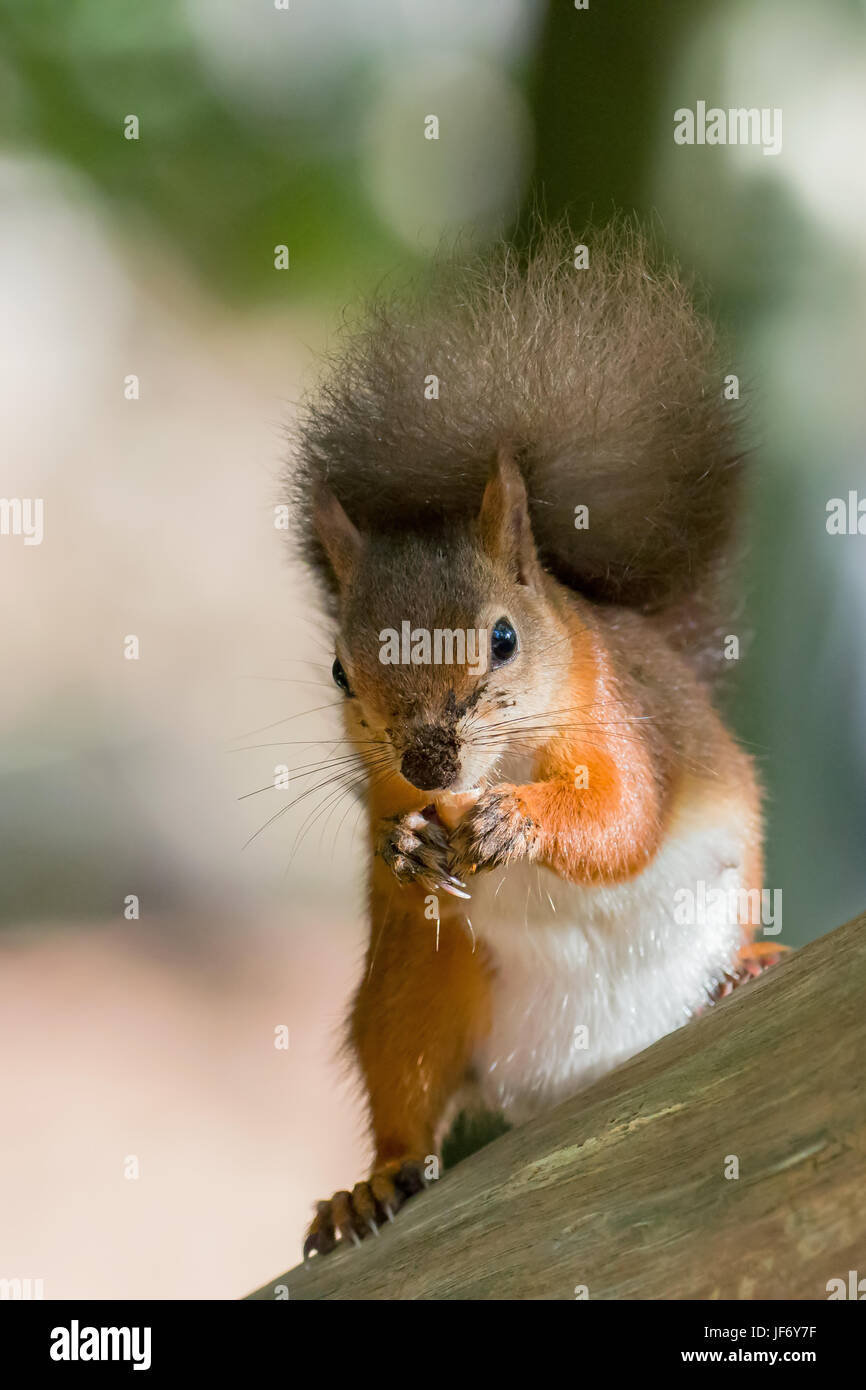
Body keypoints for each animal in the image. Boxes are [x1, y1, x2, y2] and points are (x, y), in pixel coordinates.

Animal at [291, 224, 781, 1259]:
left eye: (506, 638)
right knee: (407, 1089)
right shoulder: (381, 785)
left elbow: (625, 818)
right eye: (340, 673)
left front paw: (519, 823)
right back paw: (373, 1181)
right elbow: (391, 836)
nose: (427, 762)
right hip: (417, 987)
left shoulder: (627, 723)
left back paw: (743, 970)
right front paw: (407, 846)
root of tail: (575, 1078)